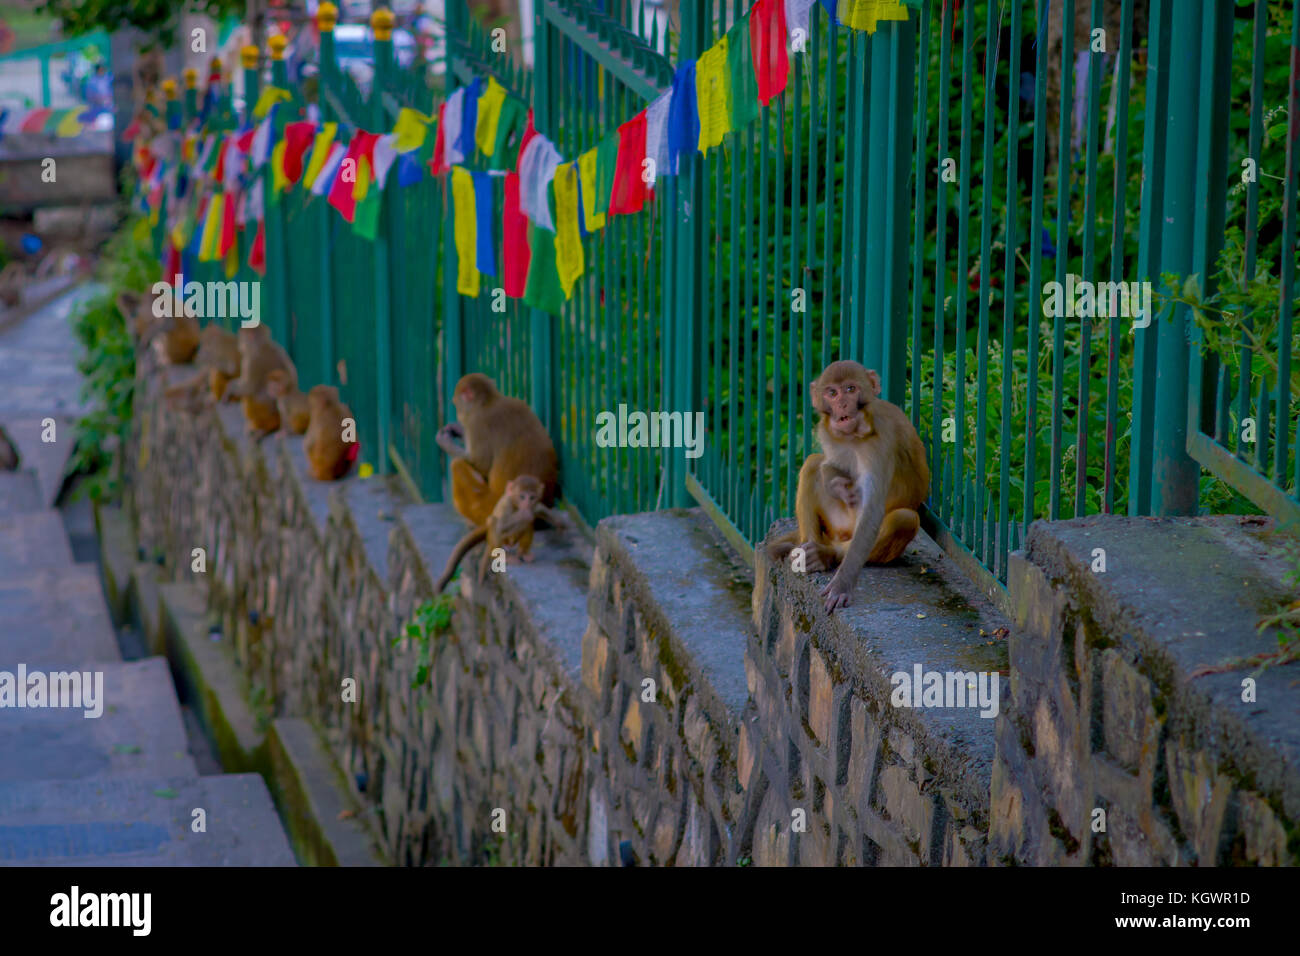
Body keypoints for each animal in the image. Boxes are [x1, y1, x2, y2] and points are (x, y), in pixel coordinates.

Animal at [433, 475, 566, 593]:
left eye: (532, 497)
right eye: (522, 496)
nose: (527, 504)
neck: (515, 505)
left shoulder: (535, 505)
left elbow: (540, 511)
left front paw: (560, 523)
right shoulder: (507, 505)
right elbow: (502, 525)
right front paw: (524, 514)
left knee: (528, 524)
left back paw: (523, 553)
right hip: (499, 540)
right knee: (494, 522)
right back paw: (505, 556)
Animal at [435, 372, 559, 527]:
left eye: (457, 403)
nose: (459, 413)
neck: (488, 402)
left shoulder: (477, 422)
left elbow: (480, 464)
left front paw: (445, 442)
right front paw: (457, 429)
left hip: (489, 509)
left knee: (457, 465)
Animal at [768, 360, 930, 614]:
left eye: (851, 389)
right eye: (832, 393)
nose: (842, 404)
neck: (854, 436)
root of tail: (839, 535)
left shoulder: (880, 442)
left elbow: (872, 510)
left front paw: (841, 585)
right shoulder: (826, 432)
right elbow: (828, 464)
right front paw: (837, 485)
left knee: (903, 518)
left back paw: (826, 554)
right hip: (834, 523)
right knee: (812, 464)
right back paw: (808, 553)